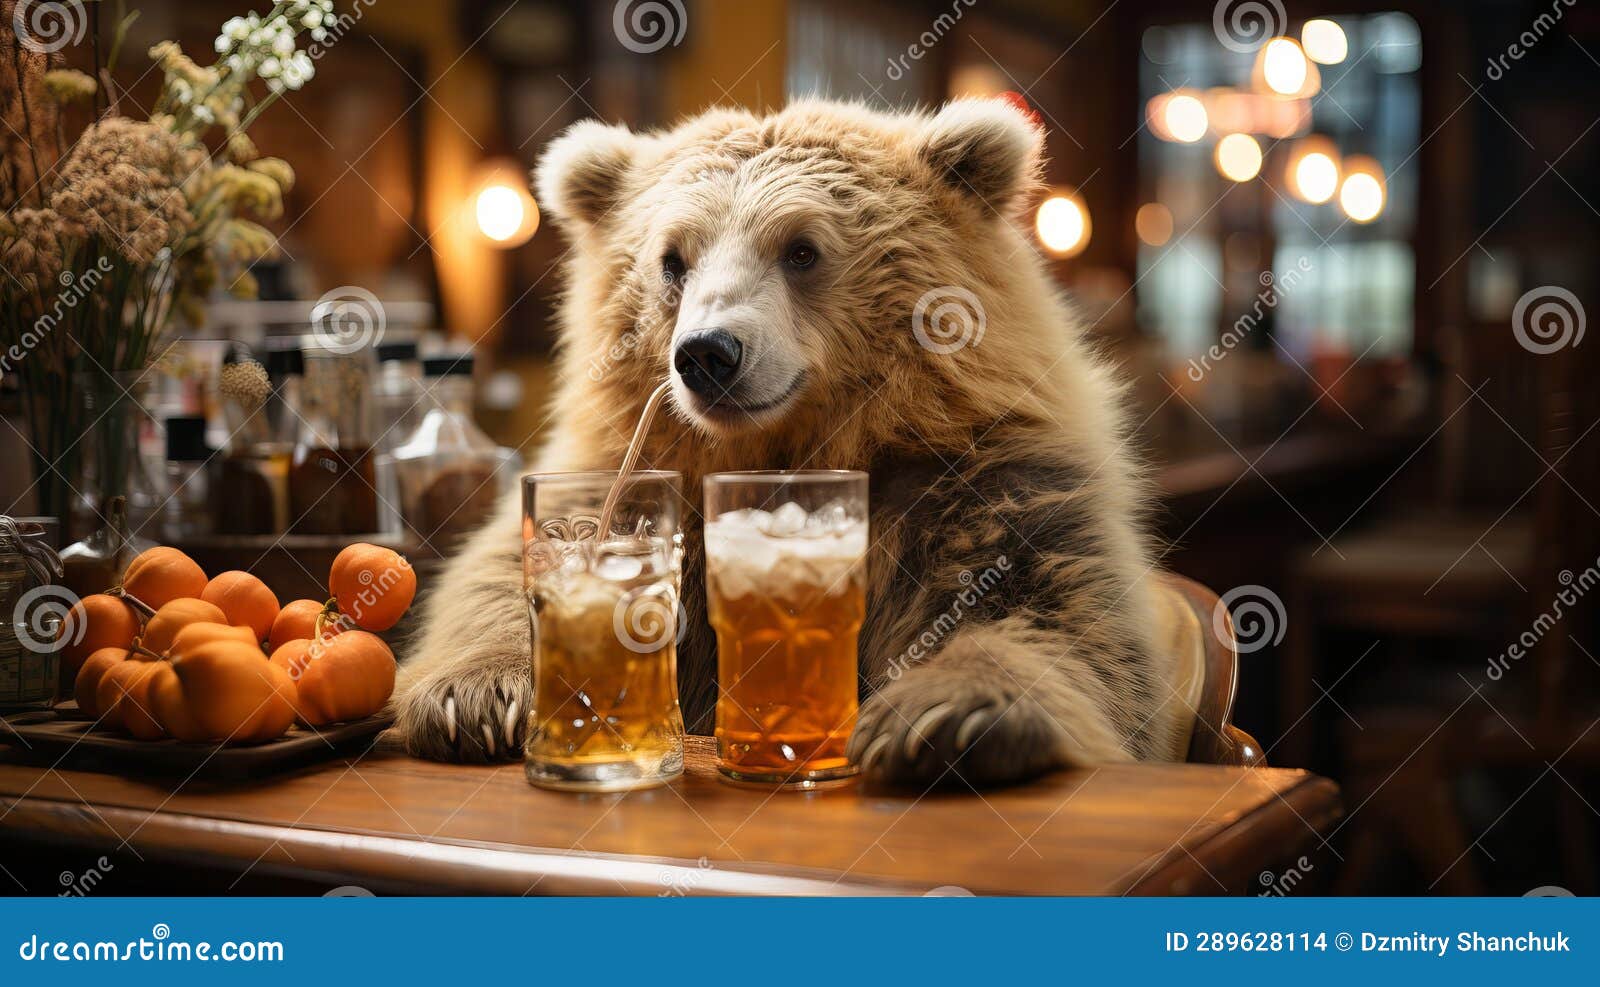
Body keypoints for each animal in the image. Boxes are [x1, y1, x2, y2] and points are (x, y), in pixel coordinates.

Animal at [392, 97, 1185, 788]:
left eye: (801, 249)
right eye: (672, 258)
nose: (709, 354)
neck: (787, 447)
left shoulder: (979, 484)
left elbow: (1051, 612)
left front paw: (943, 714)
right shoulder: (622, 470)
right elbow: (499, 575)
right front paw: (472, 697)